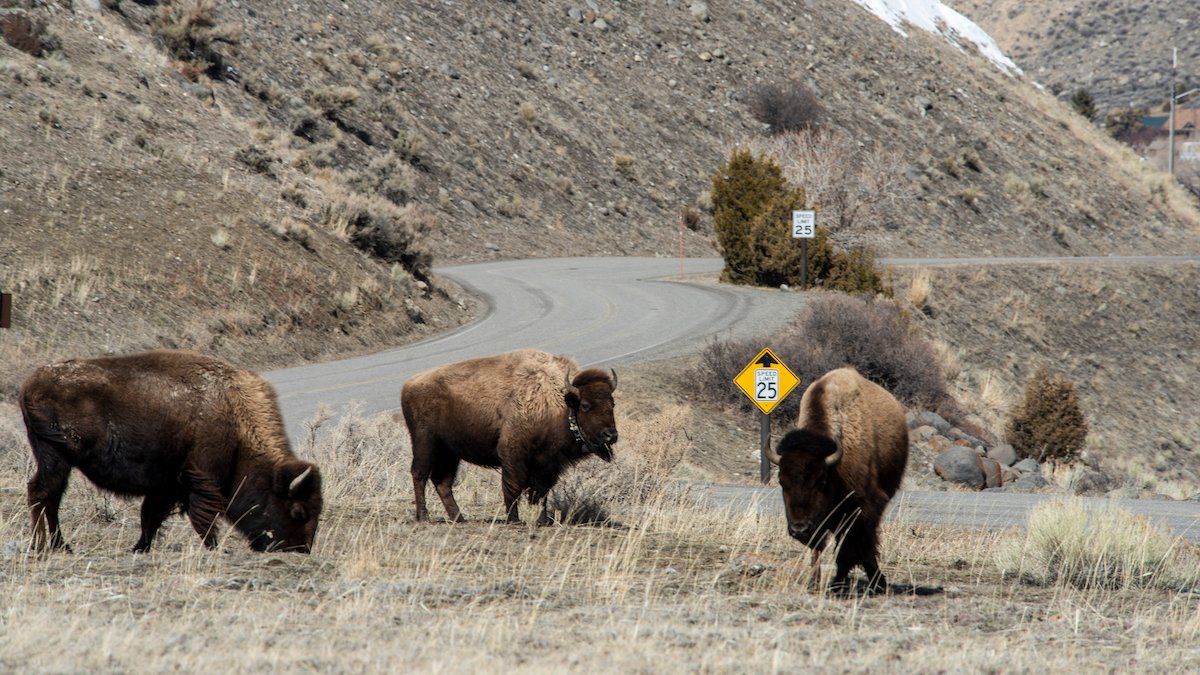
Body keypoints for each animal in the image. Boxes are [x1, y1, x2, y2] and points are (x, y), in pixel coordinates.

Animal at [20, 350, 323, 553]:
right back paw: (43, 545)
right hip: (56, 457)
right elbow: (203, 515)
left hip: (57, 459)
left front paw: (140, 548)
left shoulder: (166, 486)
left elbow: (150, 517)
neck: (235, 418)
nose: (301, 550)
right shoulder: (201, 479)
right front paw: (214, 548)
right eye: (297, 511)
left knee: (50, 497)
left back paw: (60, 546)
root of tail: (31, 383)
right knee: (42, 493)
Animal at [401, 349, 618, 525]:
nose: (611, 435)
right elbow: (513, 487)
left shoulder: (548, 463)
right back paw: (423, 517)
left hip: (450, 453)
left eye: (612, 403)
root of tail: (409, 384)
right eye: (586, 405)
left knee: (442, 482)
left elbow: (540, 493)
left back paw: (458, 518)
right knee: (419, 474)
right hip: (425, 443)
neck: (558, 401)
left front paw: (541, 520)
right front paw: (514, 519)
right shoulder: (513, 454)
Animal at [766, 367, 908, 594]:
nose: (799, 529)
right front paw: (814, 584)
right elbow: (818, 548)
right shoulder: (820, 521)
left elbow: (849, 548)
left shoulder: (864, 507)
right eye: (781, 481)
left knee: (865, 544)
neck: (835, 467)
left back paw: (876, 583)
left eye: (821, 481)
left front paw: (837, 584)